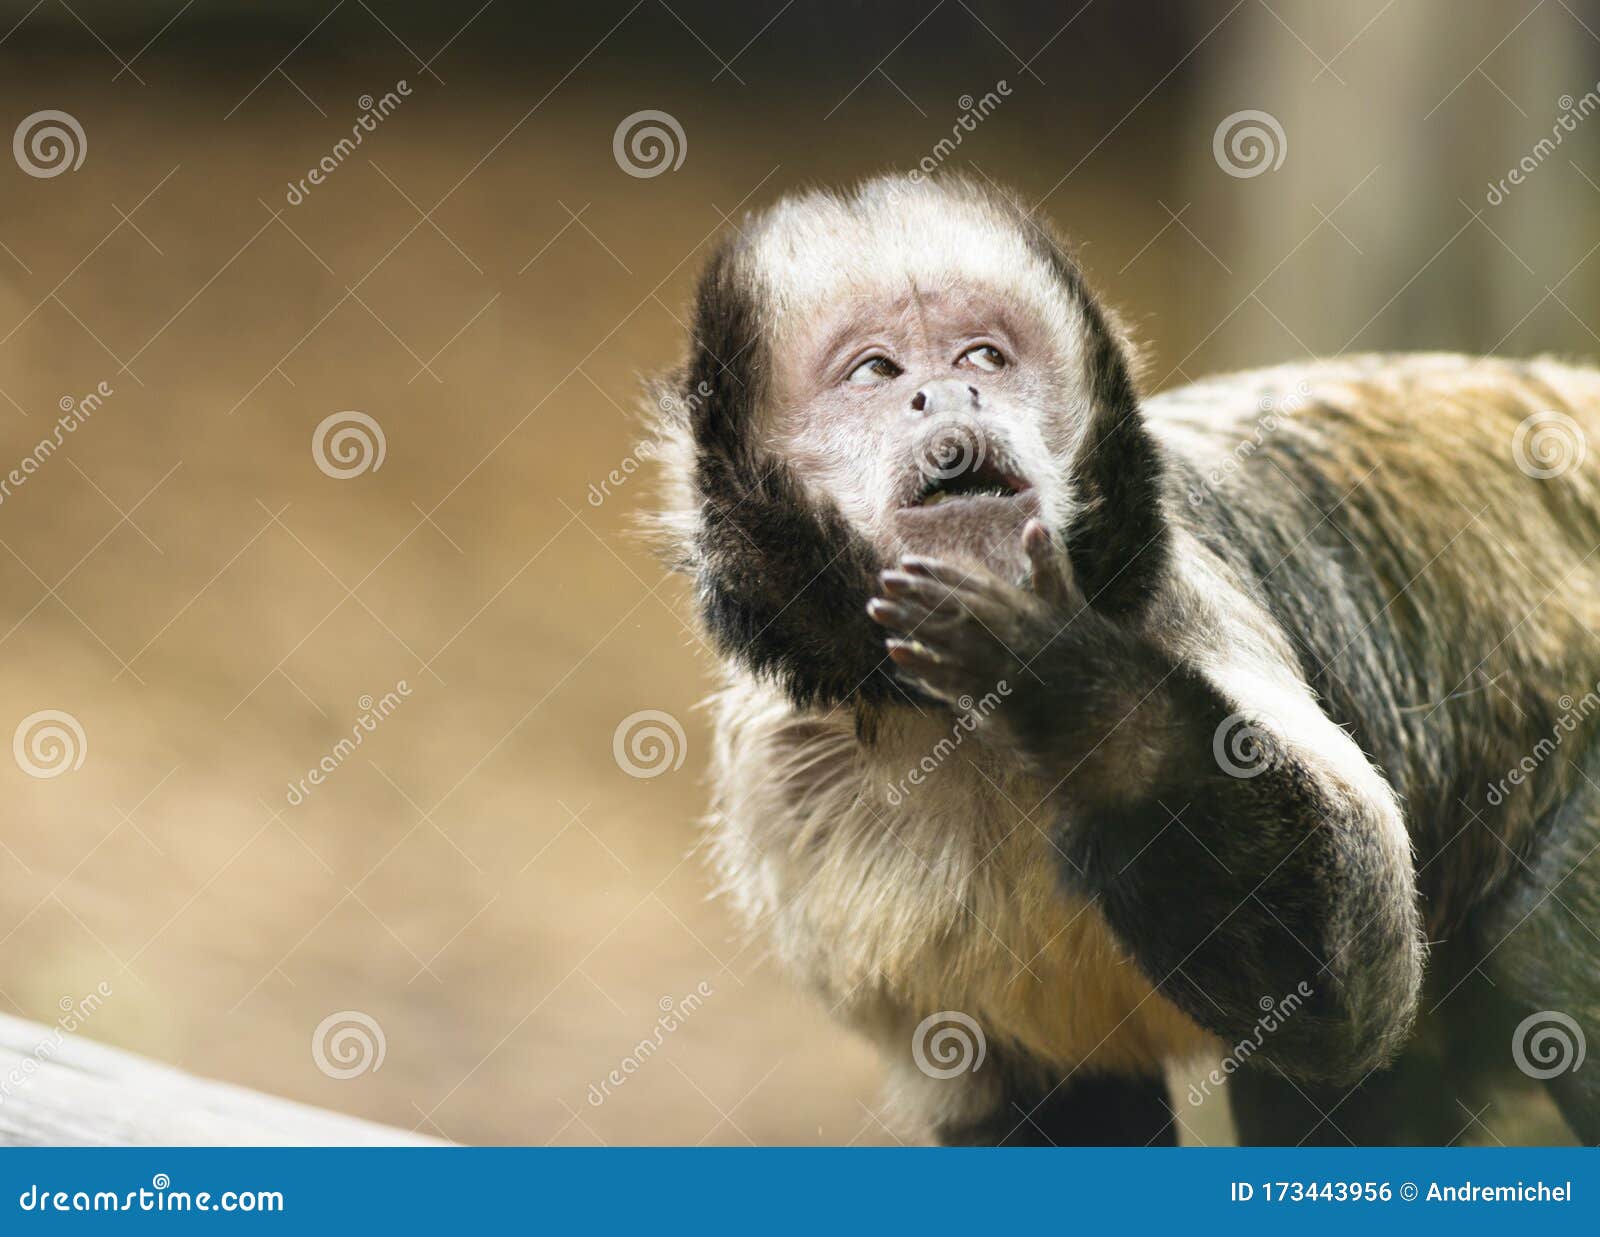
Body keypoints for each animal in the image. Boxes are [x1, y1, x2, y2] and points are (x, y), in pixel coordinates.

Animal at [648, 174, 1600, 1146]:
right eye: (876, 372)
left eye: (983, 355)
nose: (949, 394)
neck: (961, 721)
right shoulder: (783, 777)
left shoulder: (1179, 601)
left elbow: (1354, 983)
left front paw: (1076, 694)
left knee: (1522, 952)